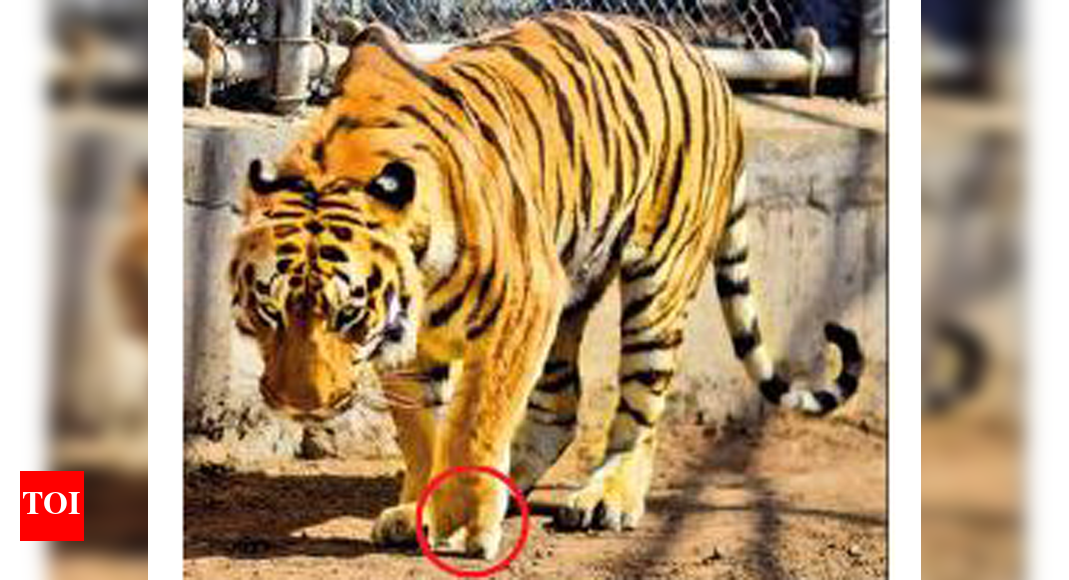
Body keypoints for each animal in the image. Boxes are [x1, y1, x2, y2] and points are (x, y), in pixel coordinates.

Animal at [229, 11, 864, 559]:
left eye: (346, 315)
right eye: (271, 310)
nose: (301, 406)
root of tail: (711, 68)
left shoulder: (520, 304)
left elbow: (474, 422)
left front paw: (461, 523)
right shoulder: (413, 338)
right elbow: (422, 431)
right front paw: (420, 508)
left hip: (657, 280)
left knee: (641, 407)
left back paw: (607, 498)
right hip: (571, 291)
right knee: (560, 404)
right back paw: (514, 485)